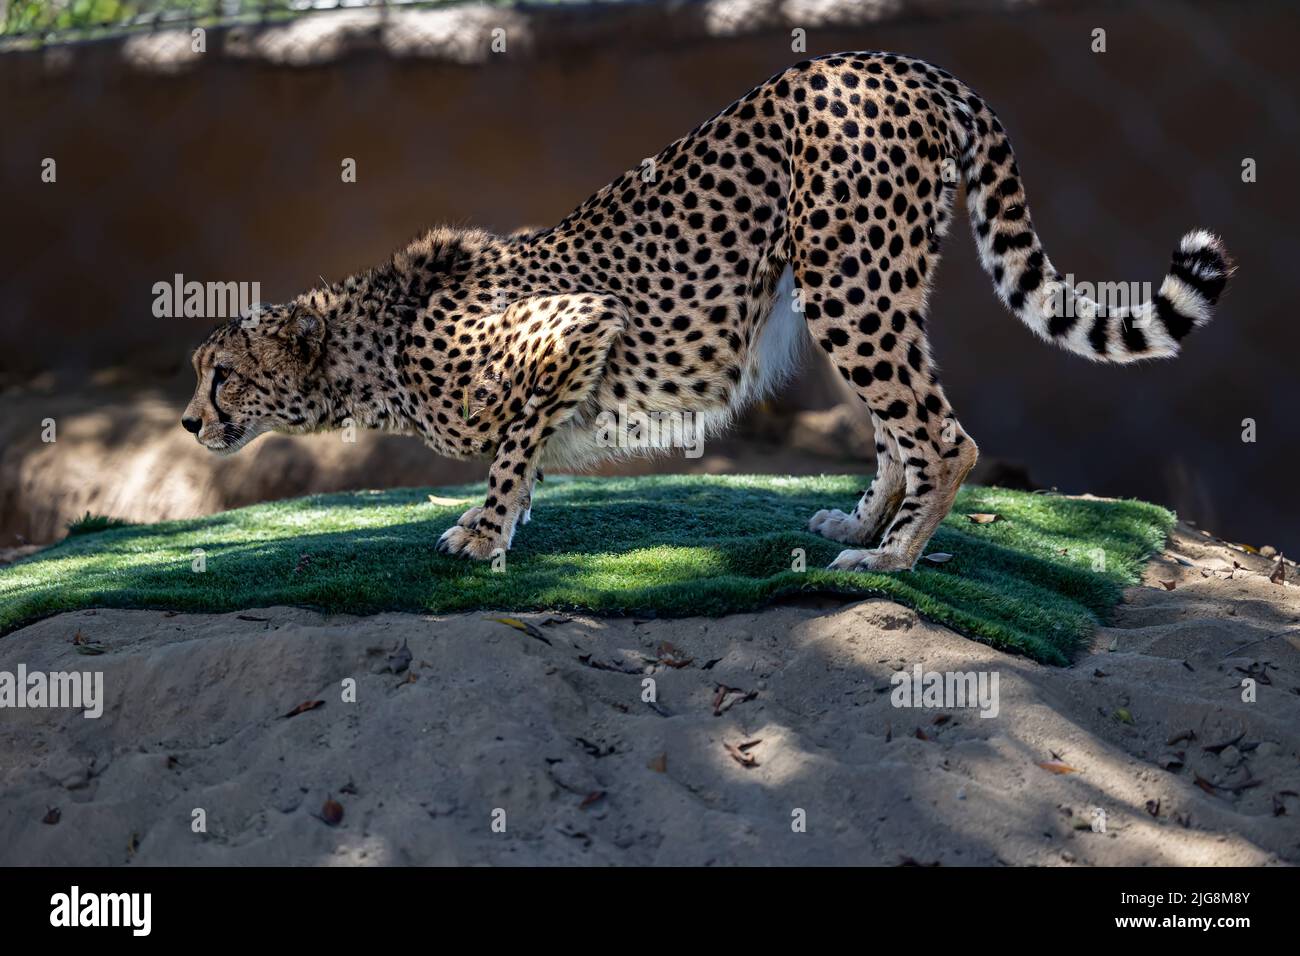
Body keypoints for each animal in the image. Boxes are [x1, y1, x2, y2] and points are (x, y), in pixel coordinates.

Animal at [183, 51, 1233, 572]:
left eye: (222, 373)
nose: (190, 420)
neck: (371, 351)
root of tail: (900, 59)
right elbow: (523, 457)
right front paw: (495, 527)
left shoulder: (578, 326)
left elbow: (511, 453)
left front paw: (483, 535)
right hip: (862, 280)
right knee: (900, 426)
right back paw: (864, 529)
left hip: (847, 281)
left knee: (944, 434)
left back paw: (894, 560)